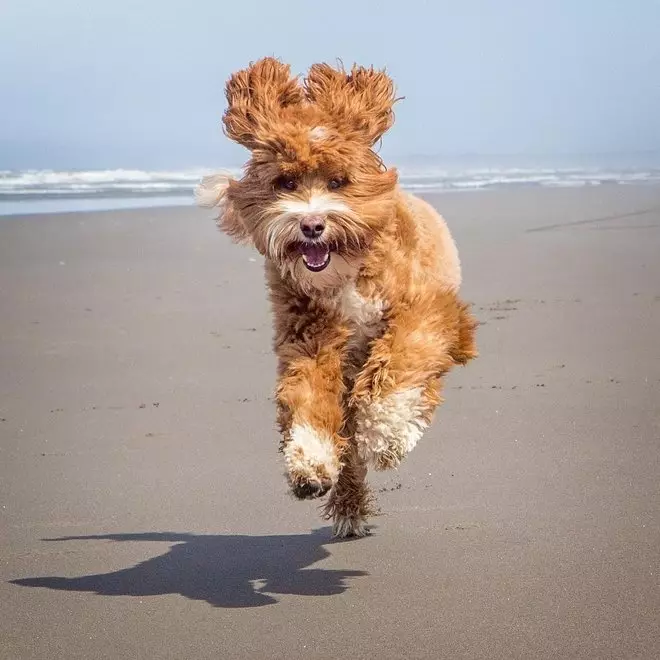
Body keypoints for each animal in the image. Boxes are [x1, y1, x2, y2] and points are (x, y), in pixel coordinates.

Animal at [199, 59, 476, 540]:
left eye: (337, 181)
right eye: (286, 181)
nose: (311, 225)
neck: (347, 273)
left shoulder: (425, 313)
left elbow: (399, 363)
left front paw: (385, 432)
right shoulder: (309, 339)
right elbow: (308, 400)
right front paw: (309, 464)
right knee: (349, 447)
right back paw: (348, 507)